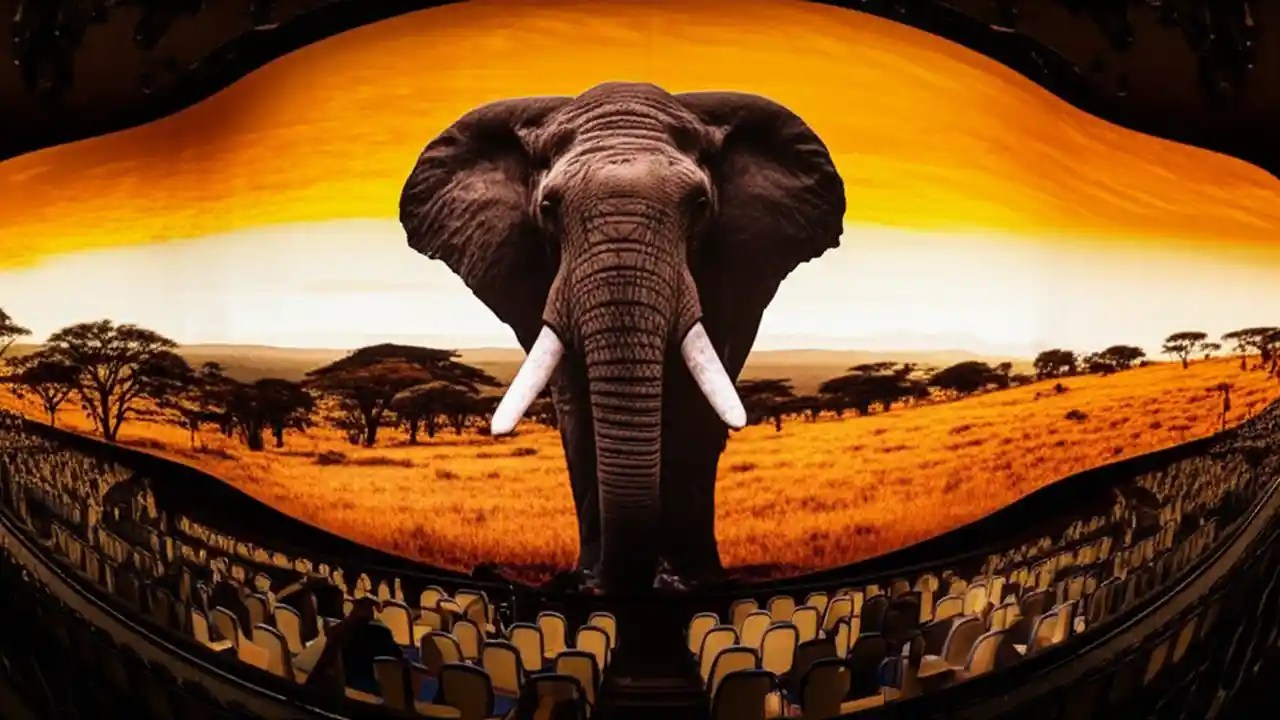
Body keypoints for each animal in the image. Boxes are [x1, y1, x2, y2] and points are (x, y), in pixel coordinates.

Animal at [400, 82, 845, 594]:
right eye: (548, 208)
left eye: (699, 206)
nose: (604, 582)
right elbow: (576, 404)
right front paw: (592, 580)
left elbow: (696, 405)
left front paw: (692, 579)